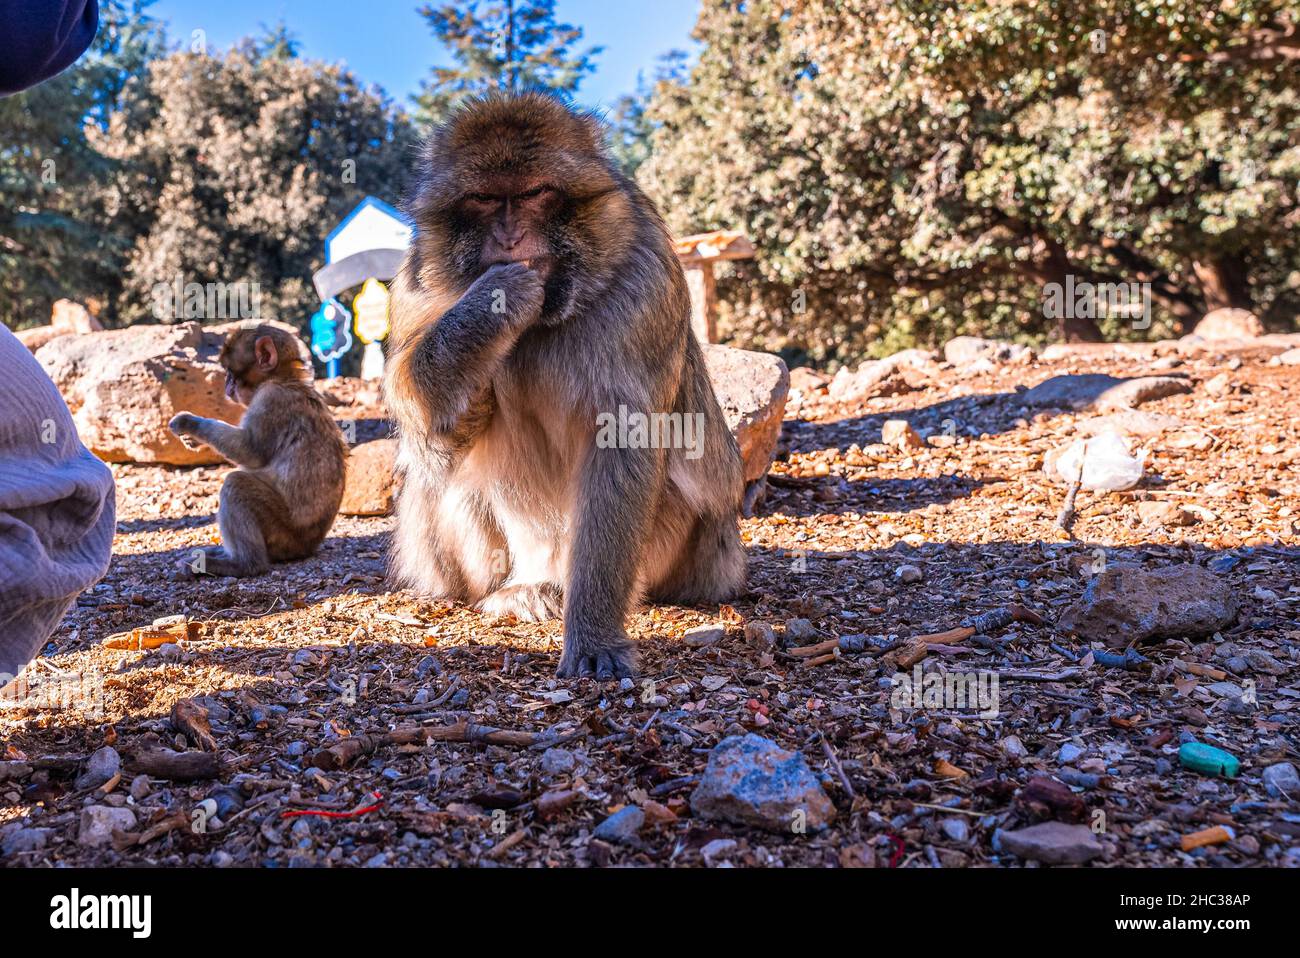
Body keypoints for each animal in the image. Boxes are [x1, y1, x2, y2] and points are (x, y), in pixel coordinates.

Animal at [168, 323, 348, 578]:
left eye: (231, 371)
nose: (227, 384)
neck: (284, 378)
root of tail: (309, 545)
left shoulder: (270, 398)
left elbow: (250, 451)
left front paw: (190, 424)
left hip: (284, 534)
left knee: (237, 484)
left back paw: (243, 564)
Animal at [384, 92, 746, 680]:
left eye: (535, 193)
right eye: (484, 199)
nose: (509, 237)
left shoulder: (644, 284)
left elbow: (620, 445)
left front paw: (594, 634)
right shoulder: (415, 286)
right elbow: (424, 427)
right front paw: (489, 309)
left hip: (697, 556)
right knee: (435, 475)